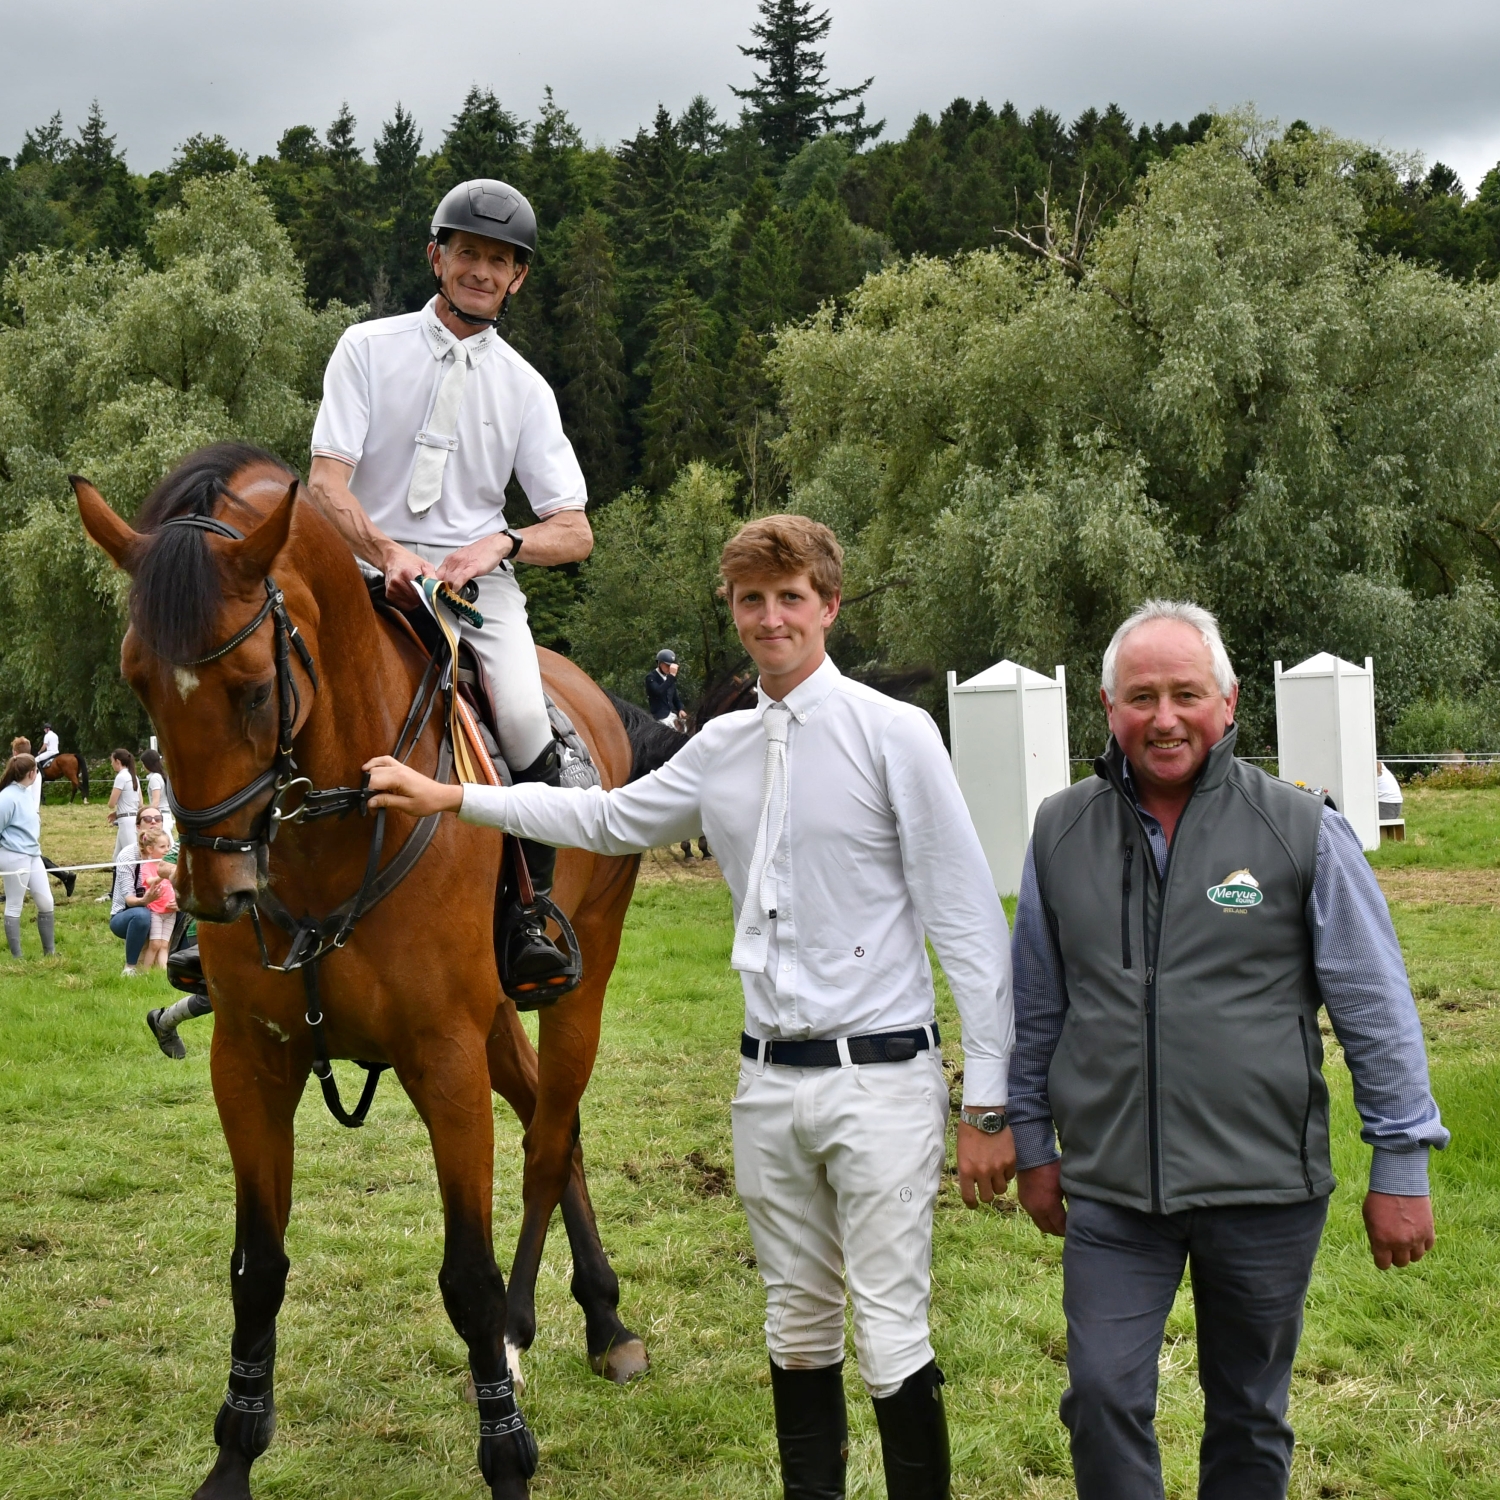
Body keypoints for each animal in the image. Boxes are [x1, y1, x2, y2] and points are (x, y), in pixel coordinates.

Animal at [74, 443, 652, 1500]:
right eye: (140, 680)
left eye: (254, 687)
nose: (218, 890)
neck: (328, 837)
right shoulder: (250, 1063)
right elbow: (256, 1269)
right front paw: (232, 1457)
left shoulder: (442, 1058)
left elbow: (466, 1278)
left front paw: (507, 1456)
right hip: (498, 1022)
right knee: (552, 1120)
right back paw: (599, 1315)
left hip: (574, 990)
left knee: (549, 1142)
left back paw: (550, 1329)